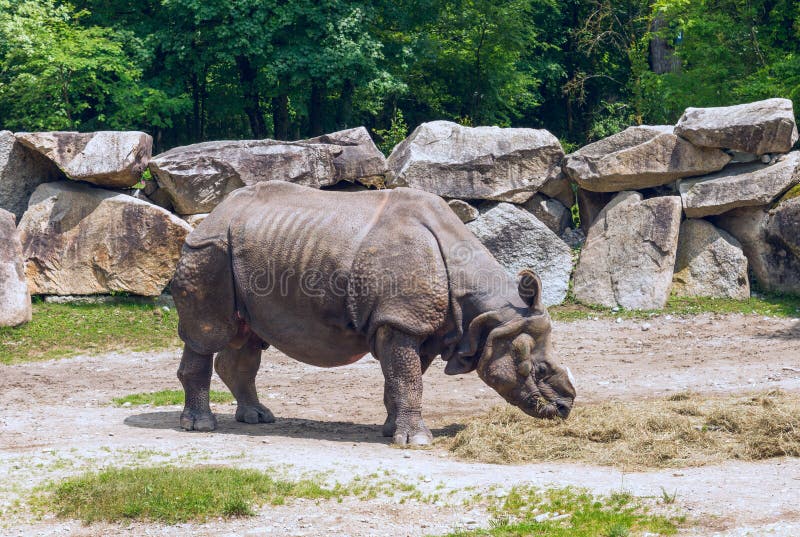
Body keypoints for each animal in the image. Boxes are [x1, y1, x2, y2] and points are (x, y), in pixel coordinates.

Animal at [172, 181, 576, 445]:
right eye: (538, 370)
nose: (564, 408)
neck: (486, 314)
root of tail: (212, 214)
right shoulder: (402, 321)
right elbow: (408, 379)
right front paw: (417, 441)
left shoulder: (419, 326)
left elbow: (400, 378)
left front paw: (391, 430)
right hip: (208, 251)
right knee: (207, 334)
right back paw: (201, 426)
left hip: (242, 254)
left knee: (247, 338)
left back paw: (257, 418)